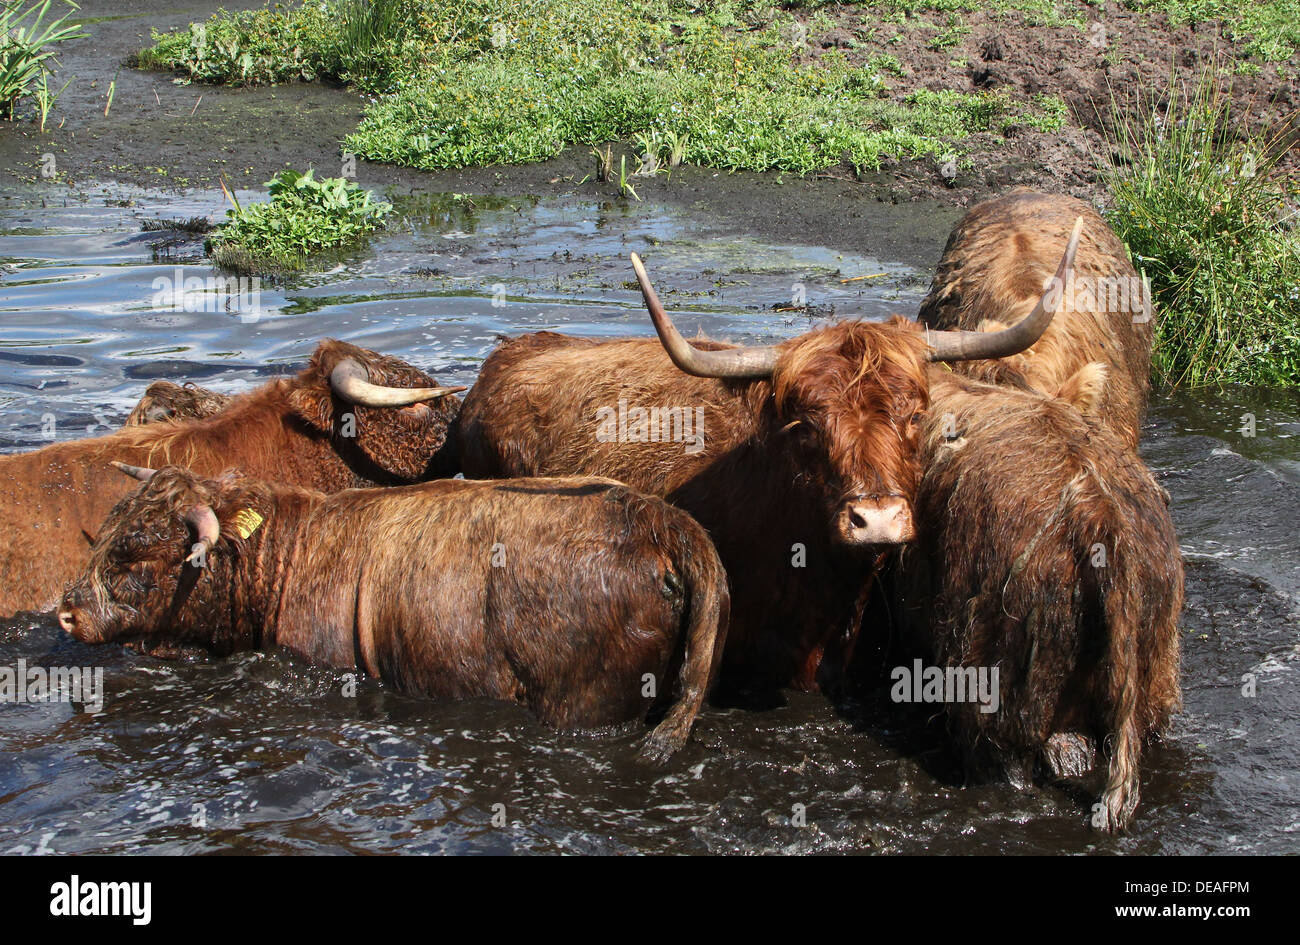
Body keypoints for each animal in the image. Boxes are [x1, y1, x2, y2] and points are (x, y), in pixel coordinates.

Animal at [57, 465, 730, 761]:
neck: (289, 554)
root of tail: (657, 517)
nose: (66, 611)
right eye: (106, 532)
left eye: (136, 555)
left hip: (581, 702)